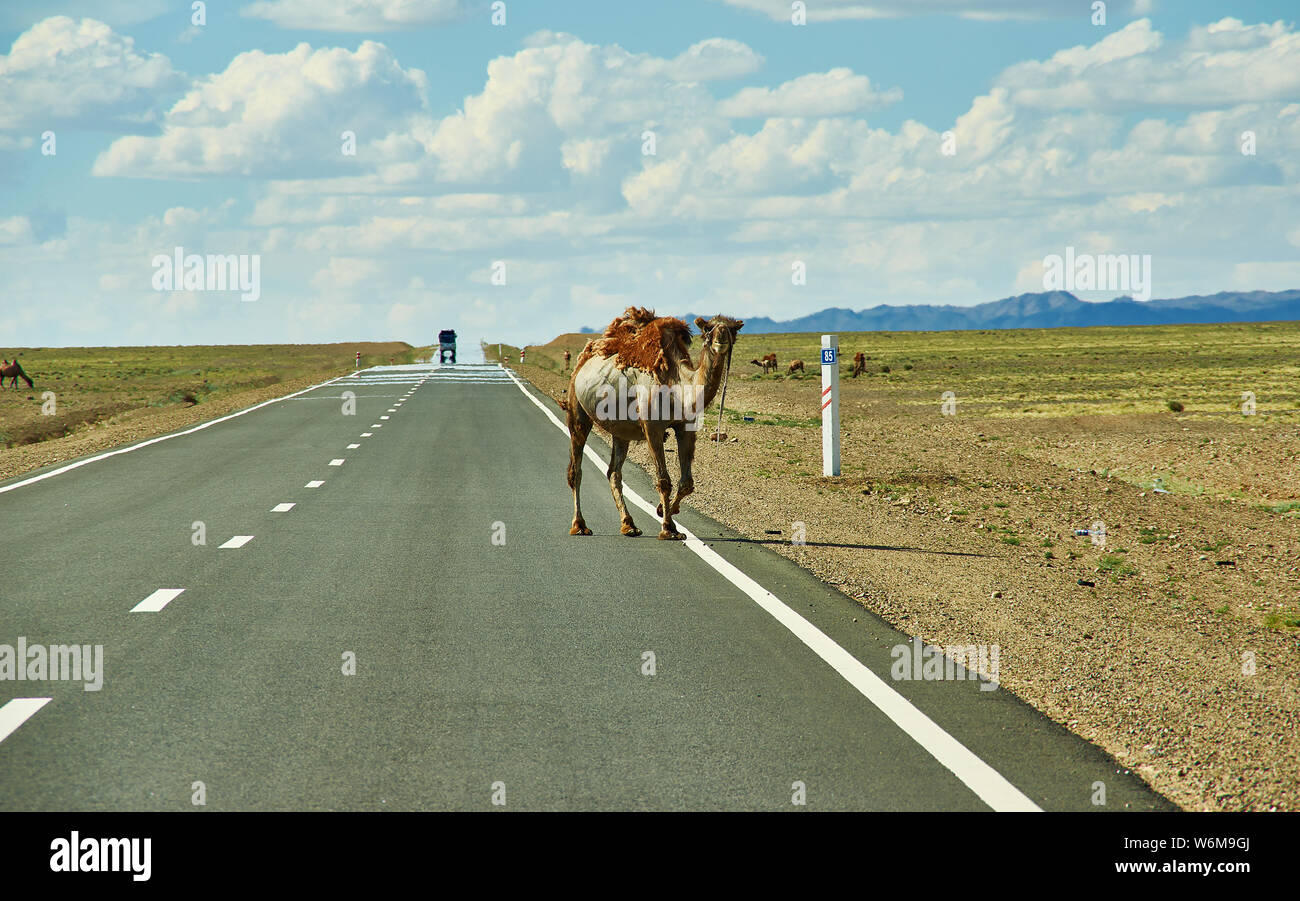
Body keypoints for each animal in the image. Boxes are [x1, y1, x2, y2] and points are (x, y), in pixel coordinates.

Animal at [563, 307, 743, 540]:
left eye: (732, 329)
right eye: (708, 328)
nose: (720, 338)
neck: (678, 387)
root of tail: (583, 359)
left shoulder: (686, 426)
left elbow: (687, 483)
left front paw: (664, 511)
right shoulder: (652, 426)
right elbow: (664, 480)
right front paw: (668, 528)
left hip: (620, 430)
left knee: (614, 472)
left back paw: (629, 525)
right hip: (577, 408)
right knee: (576, 469)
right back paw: (579, 525)